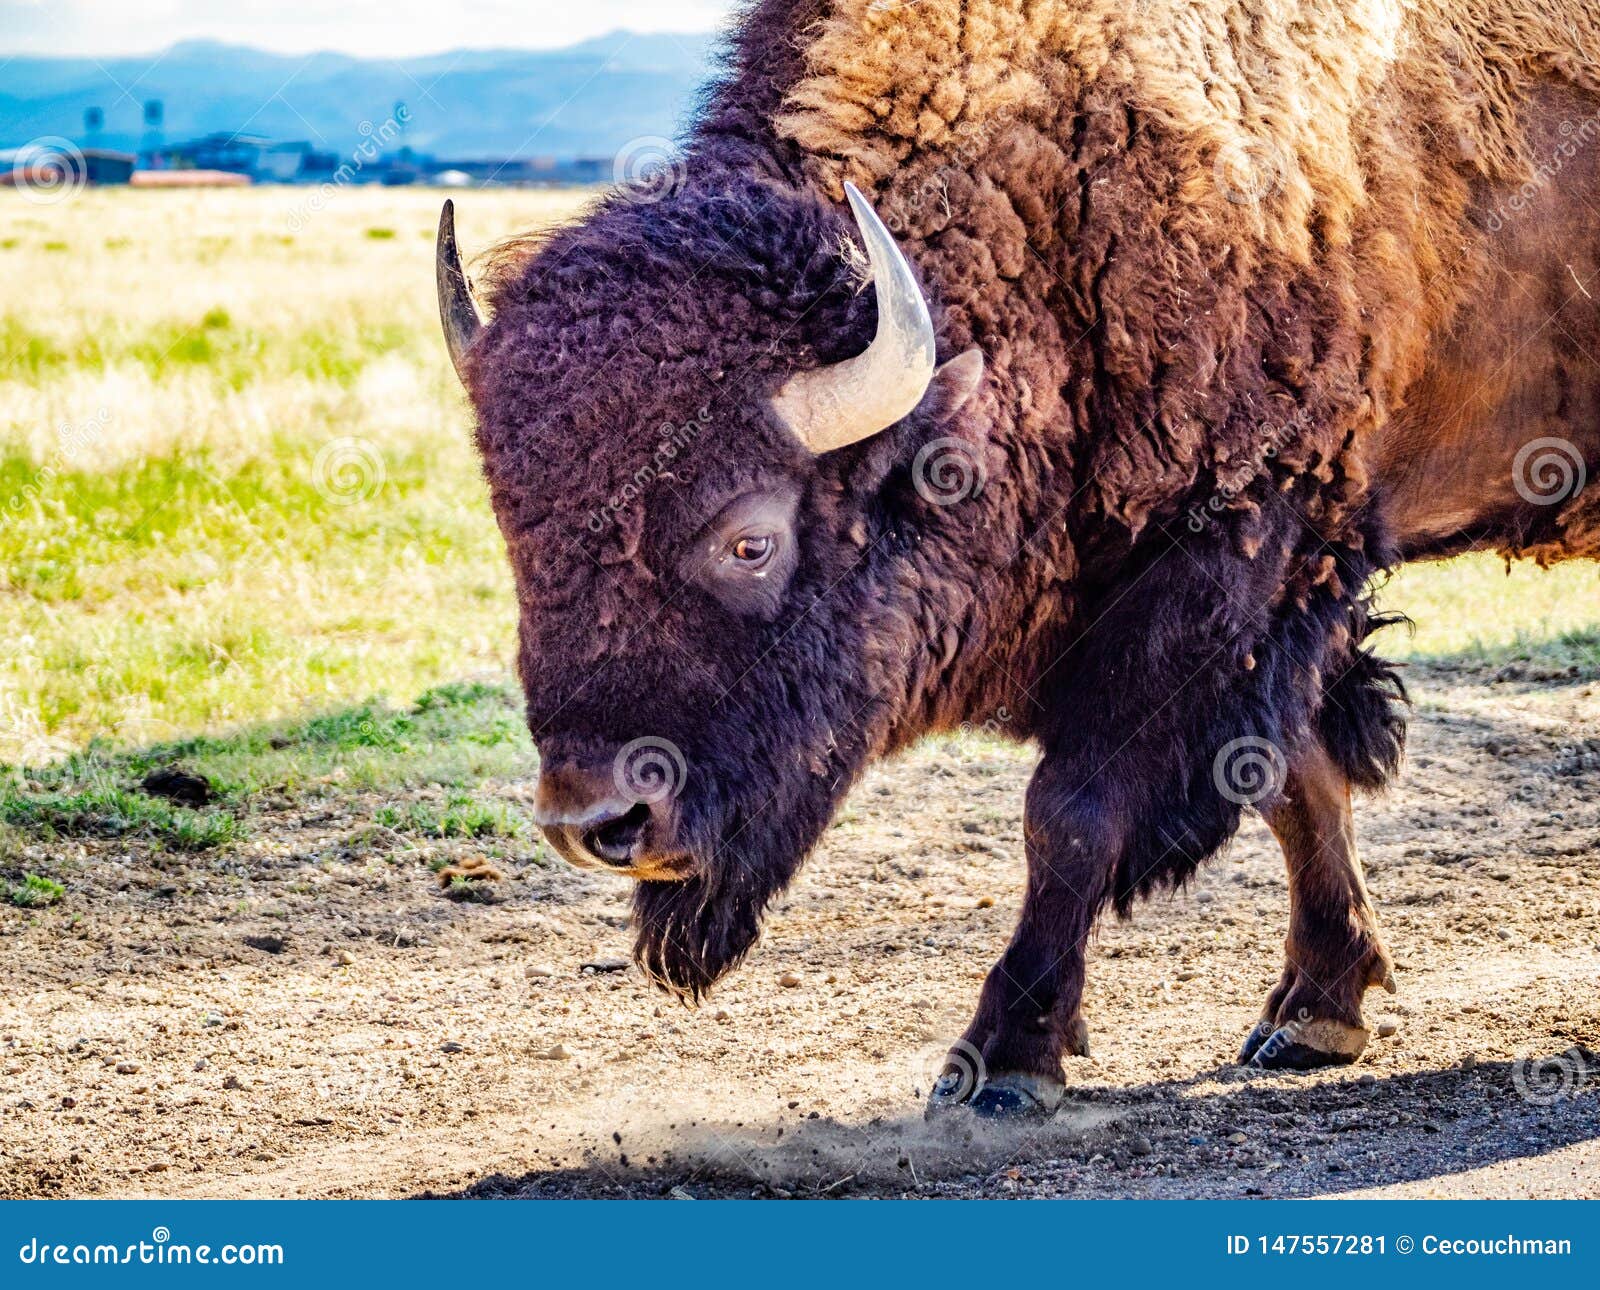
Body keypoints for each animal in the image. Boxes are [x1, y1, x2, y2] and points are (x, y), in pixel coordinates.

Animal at [437, 0, 1599, 1116]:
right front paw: (1316, 1011)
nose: (594, 819)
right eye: (518, 530)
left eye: (748, 538)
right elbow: (1292, 778)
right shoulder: (1270, 613)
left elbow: (1071, 814)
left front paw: (1004, 1059)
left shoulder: (1228, 566)